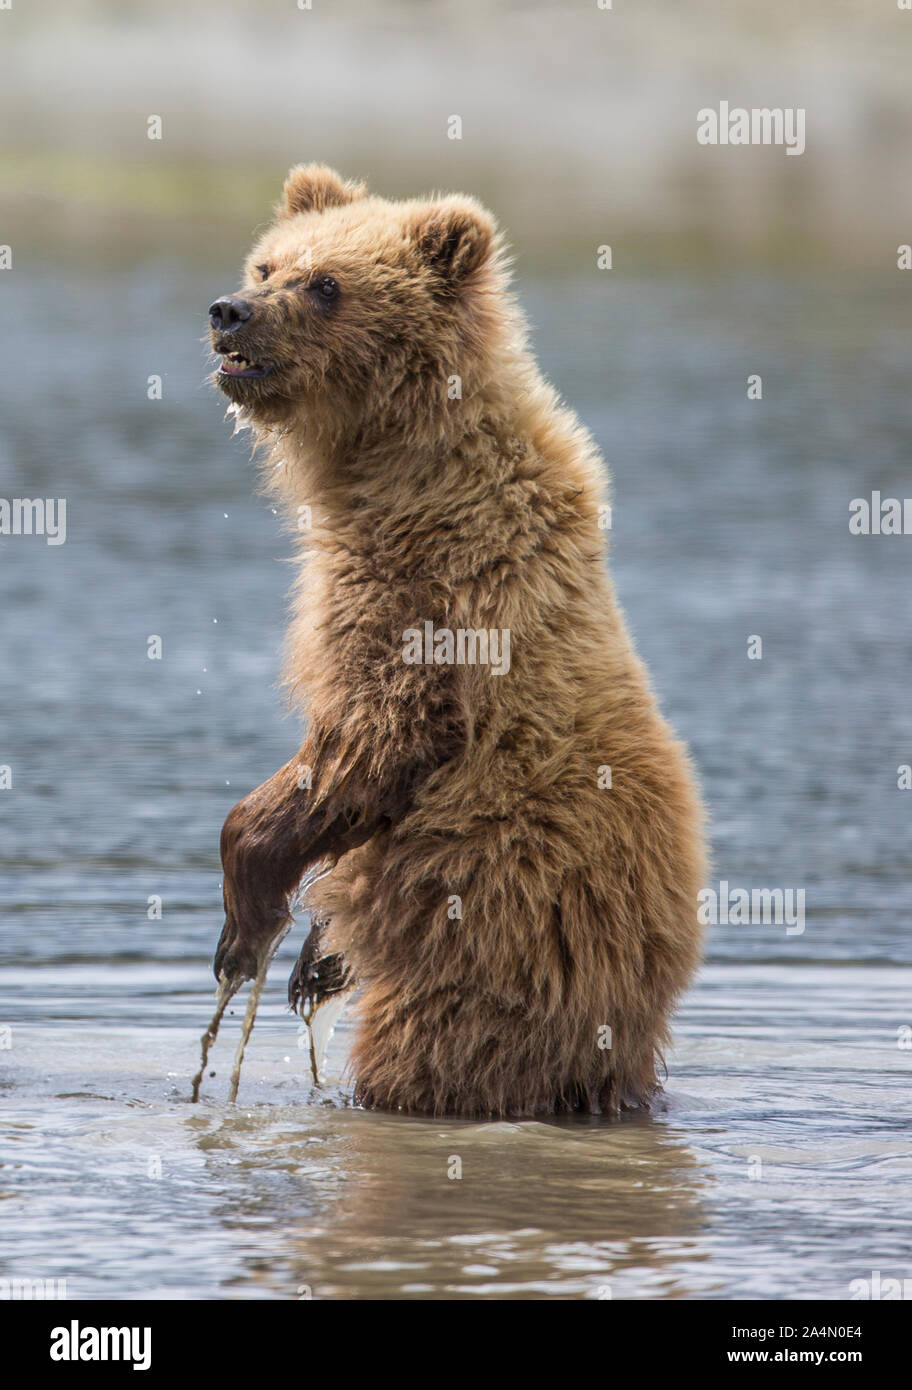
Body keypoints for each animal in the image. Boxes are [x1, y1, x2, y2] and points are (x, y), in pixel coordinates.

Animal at [207, 163, 707, 1118]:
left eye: (327, 285)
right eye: (266, 265)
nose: (230, 311)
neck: (396, 469)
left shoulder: (432, 587)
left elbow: (376, 731)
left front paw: (248, 902)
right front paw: (305, 955)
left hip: (496, 928)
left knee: (429, 1052)